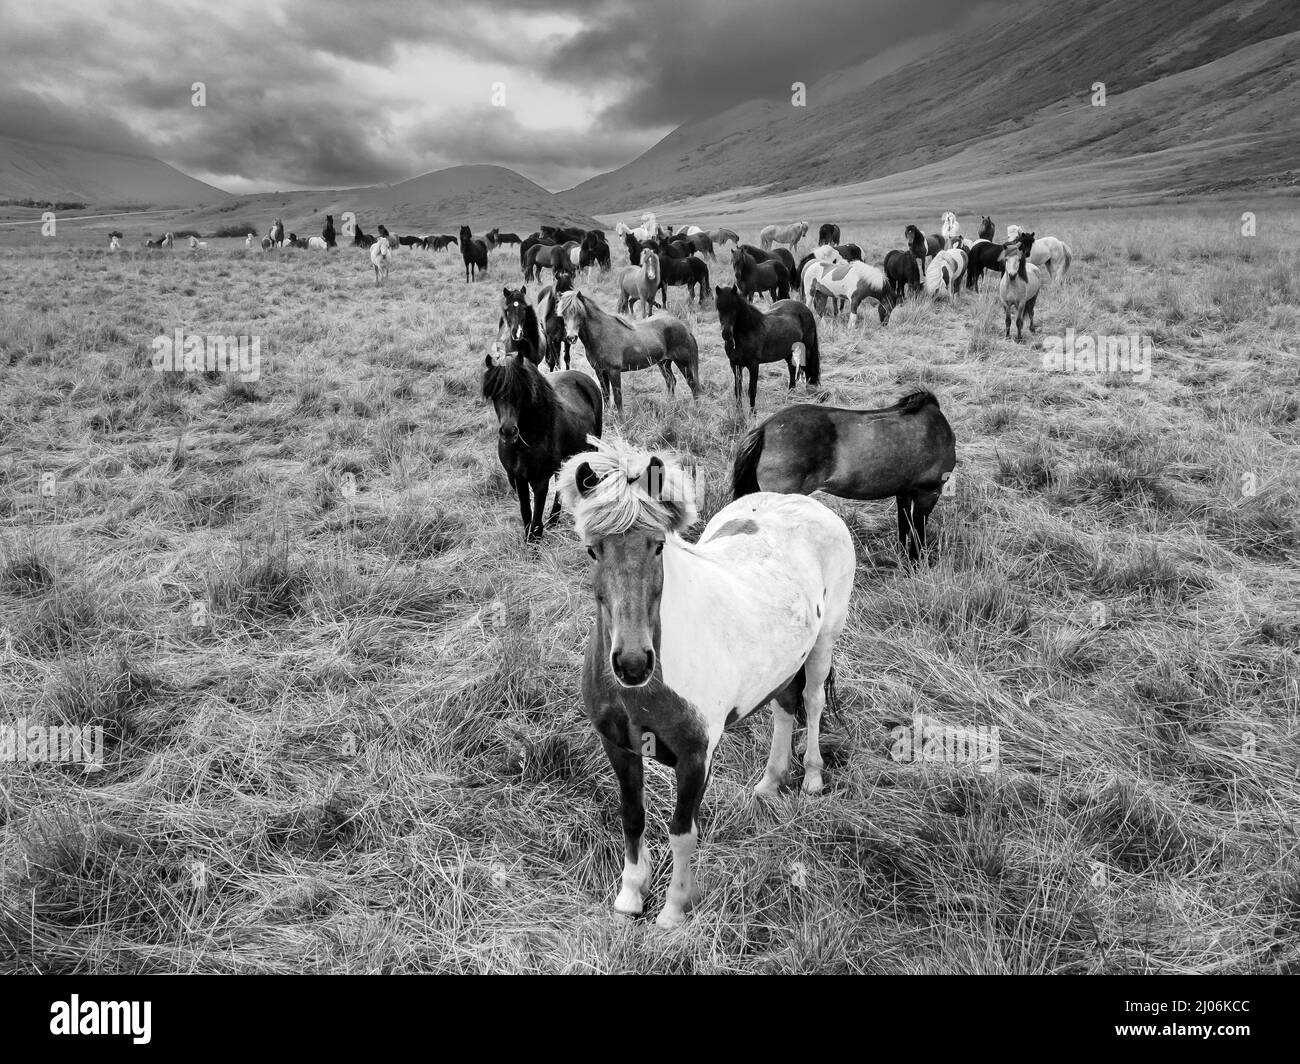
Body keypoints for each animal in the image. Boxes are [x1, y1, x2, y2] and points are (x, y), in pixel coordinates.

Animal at [483, 353, 602, 541]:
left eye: (521, 392)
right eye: (494, 394)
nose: (508, 432)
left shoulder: (540, 481)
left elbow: (536, 519)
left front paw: (534, 544)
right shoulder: (518, 478)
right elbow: (526, 512)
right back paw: (554, 519)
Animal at [558, 290, 700, 414]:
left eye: (579, 312)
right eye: (563, 314)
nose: (571, 337)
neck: (602, 334)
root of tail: (684, 327)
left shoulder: (614, 371)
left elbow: (617, 398)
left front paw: (622, 420)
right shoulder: (600, 371)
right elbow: (606, 396)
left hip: (682, 363)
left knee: (692, 384)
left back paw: (696, 410)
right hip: (664, 363)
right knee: (671, 381)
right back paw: (670, 407)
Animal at [561, 435, 855, 928]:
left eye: (658, 547)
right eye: (592, 550)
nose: (633, 663)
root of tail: (805, 503)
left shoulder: (695, 757)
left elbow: (683, 832)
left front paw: (674, 910)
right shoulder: (618, 747)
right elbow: (632, 818)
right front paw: (630, 896)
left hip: (823, 642)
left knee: (812, 703)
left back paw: (813, 777)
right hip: (782, 664)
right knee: (784, 708)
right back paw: (770, 784)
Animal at [732, 391, 956, 562]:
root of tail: (765, 429)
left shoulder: (904, 492)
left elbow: (904, 525)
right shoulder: (928, 493)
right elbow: (918, 531)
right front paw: (915, 565)